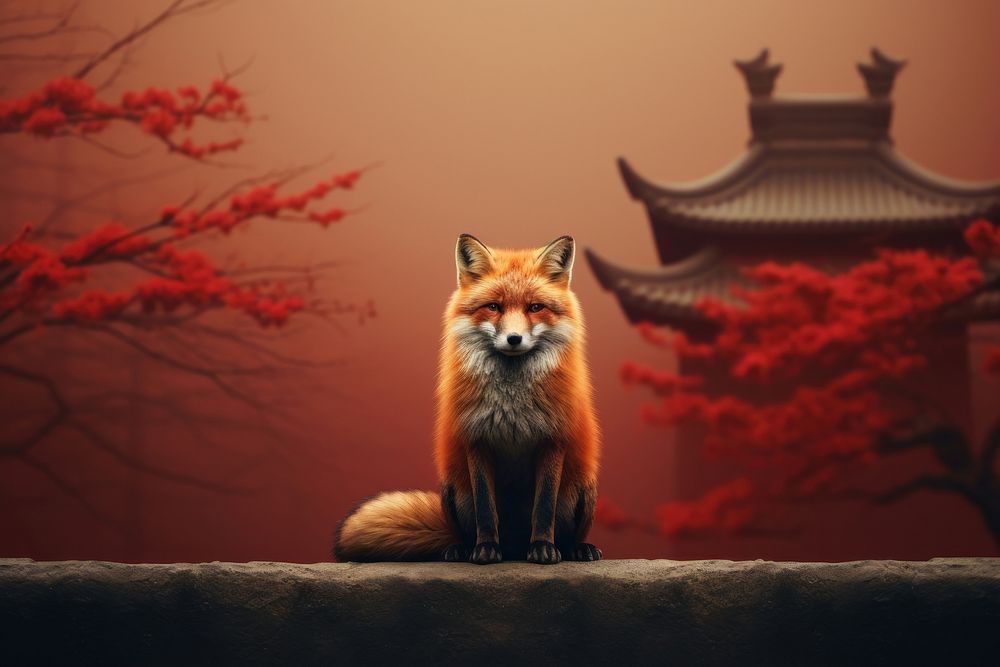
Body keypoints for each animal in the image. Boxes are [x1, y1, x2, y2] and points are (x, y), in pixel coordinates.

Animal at [334, 234, 602, 564]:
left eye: (535, 307)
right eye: (494, 307)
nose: (514, 339)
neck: (512, 403)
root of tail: (514, 546)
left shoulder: (553, 441)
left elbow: (543, 507)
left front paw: (542, 547)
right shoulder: (477, 440)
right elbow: (486, 508)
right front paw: (485, 550)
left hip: (584, 488)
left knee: (567, 533)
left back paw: (575, 548)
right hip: (452, 491)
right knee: (462, 531)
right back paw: (462, 549)